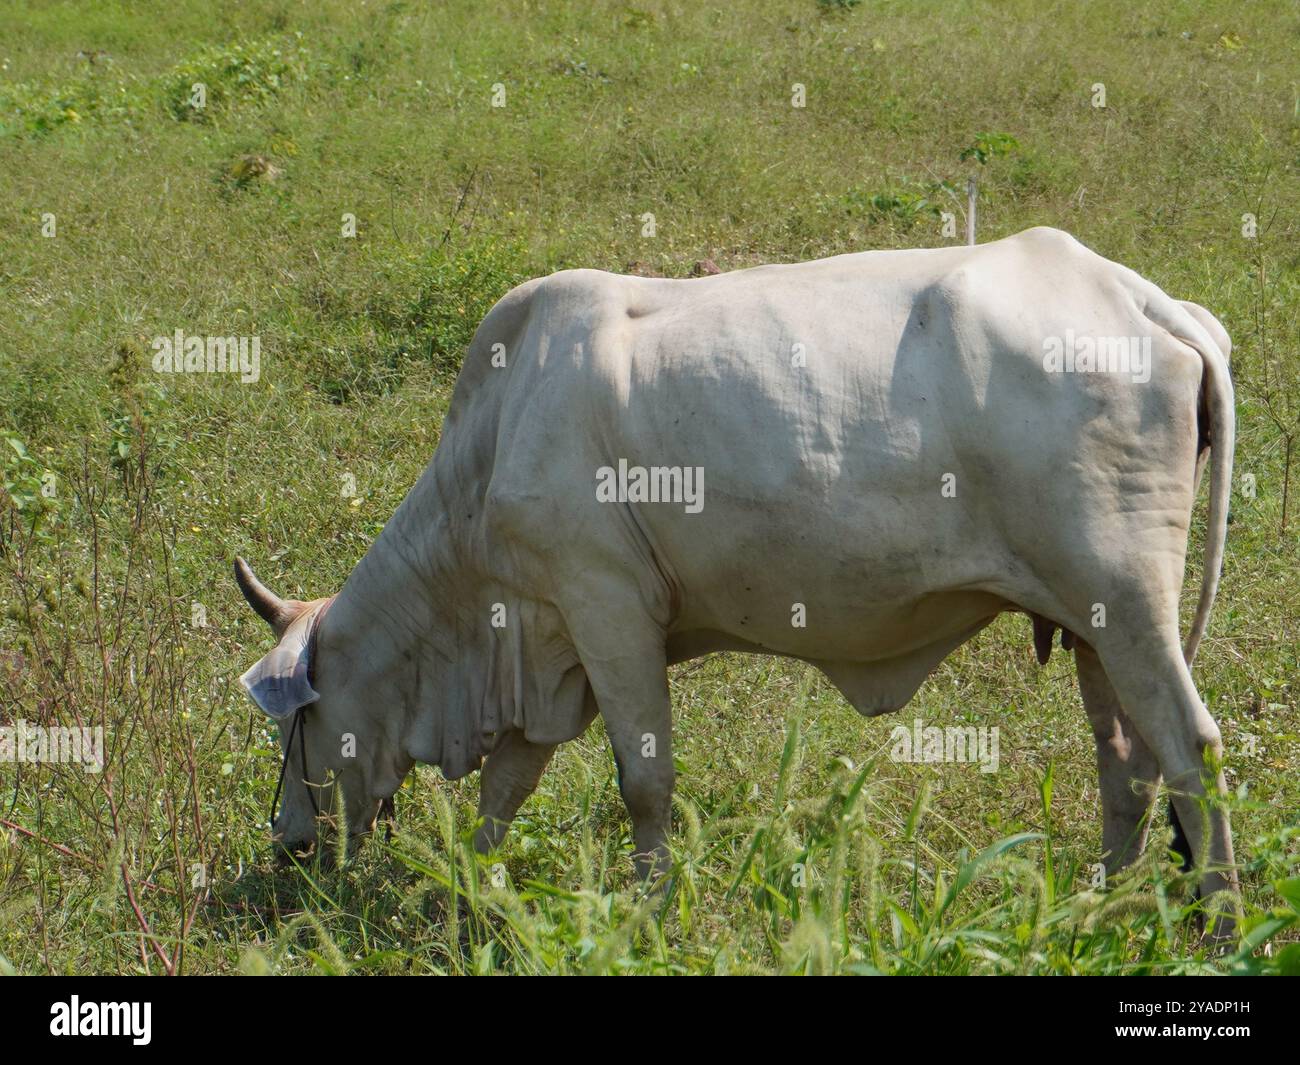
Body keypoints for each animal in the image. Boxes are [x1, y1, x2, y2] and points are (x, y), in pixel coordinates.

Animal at [236, 226, 1238, 925]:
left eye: (296, 722)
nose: (287, 842)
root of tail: (1144, 298)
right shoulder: (555, 638)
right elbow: (507, 785)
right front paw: (468, 891)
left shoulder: (605, 604)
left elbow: (643, 781)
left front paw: (649, 915)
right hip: (1090, 620)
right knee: (1128, 765)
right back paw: (1098, 909)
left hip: (1129, 600)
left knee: (1193, 749)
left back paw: (1222, 924)